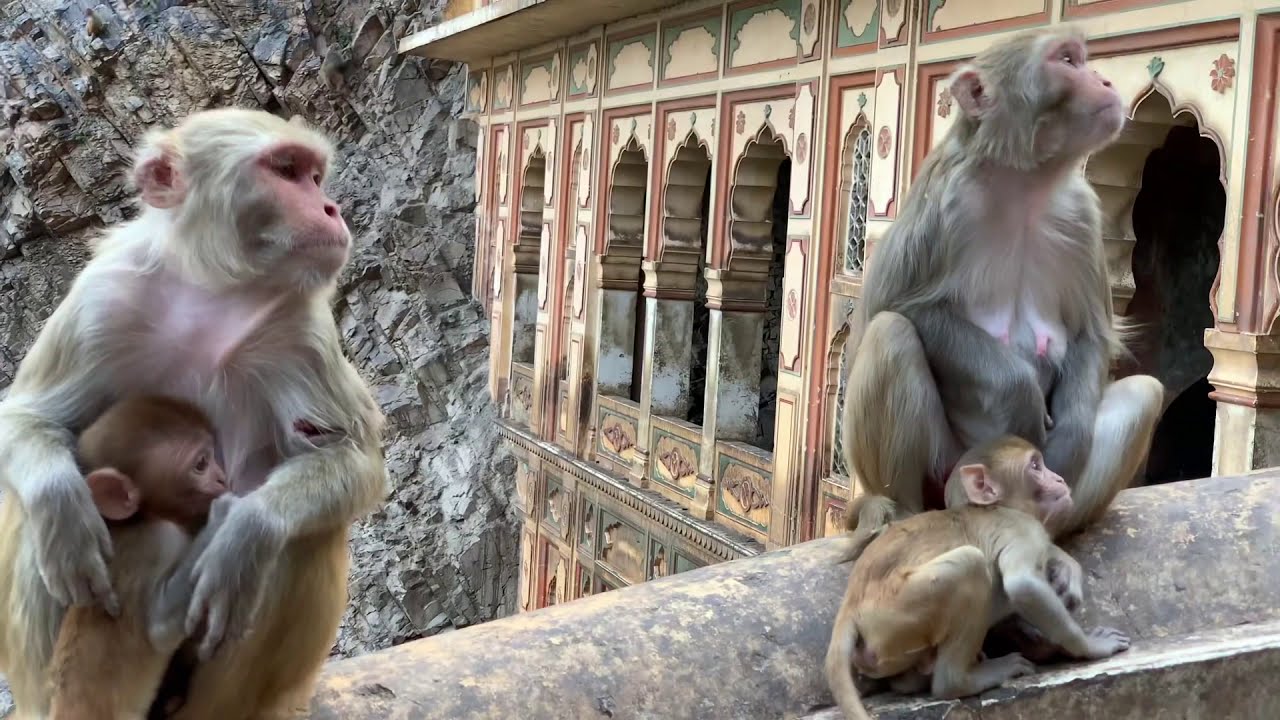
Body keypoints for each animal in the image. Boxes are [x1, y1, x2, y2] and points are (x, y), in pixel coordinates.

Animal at [48, 395, 229, 720]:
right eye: (201, 464)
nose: (222, 478)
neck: (142, 518)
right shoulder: (161, 541)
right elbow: (160, 631)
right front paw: (224, 514)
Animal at [825, 436, 1129, 720]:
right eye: (1035, 466)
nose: (1059, 478)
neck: (1002, 506)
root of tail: (850, 605)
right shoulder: (1023, 528)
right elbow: (1023, 584)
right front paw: (1091, 646)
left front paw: (1066, 568)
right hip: (895, 611)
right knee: (971, 565)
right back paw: (961, 680)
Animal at [838, 26, 1164, 553]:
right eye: (1067, 60)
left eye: (1081, 59)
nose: (1106, 80)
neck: (1024, 185)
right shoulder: (944, 203)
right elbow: (892, 307)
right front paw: (1019, 394)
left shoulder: (1083, 215)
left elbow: (1092, 334)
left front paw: (1069, 436)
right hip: (946, 469)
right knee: (891, 334)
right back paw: (894, 509)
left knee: (1144, 392)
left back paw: (1049, 523)